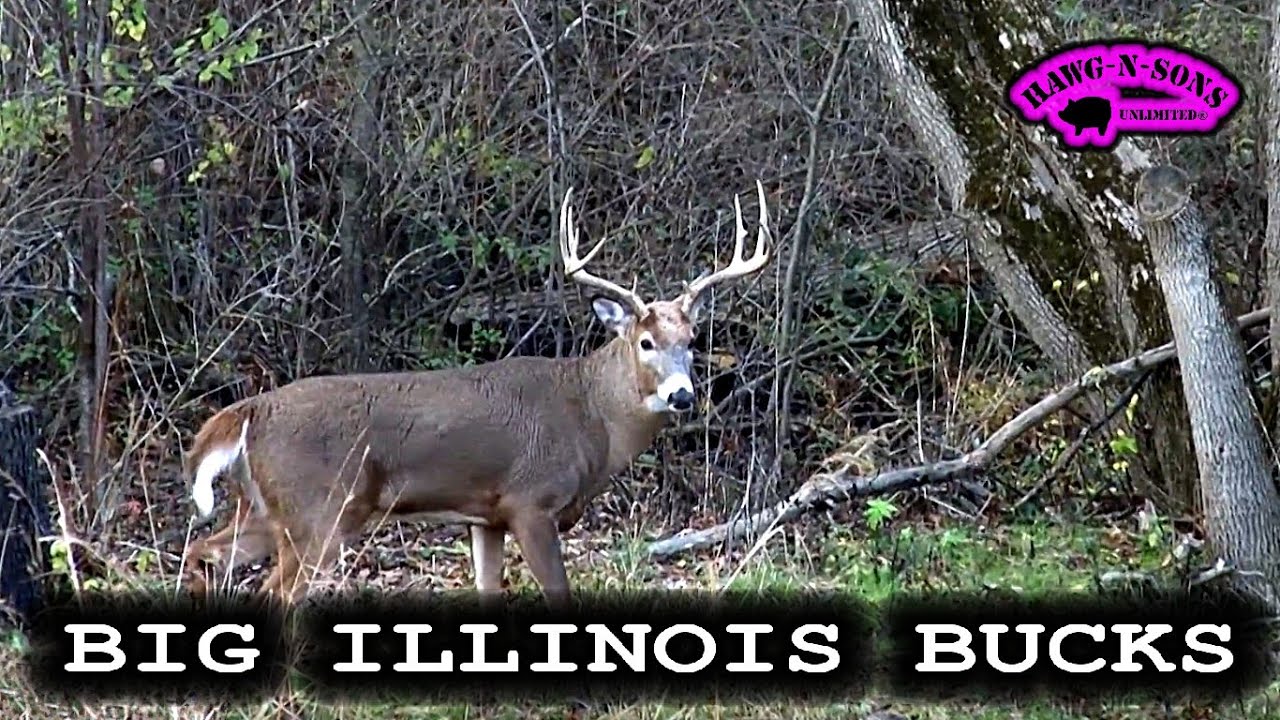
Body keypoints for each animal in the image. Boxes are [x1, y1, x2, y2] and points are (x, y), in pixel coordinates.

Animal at [178, 181, 773, 605]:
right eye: (646, 341)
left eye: (692, 340)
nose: (682, 396)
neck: (592, 418)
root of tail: (252, 409)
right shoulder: (530, 500)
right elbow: (558, 594)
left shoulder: (485, 517)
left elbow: (488, 591)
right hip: (318, 509)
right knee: (273, 590)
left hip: (264, 506)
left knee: (202, 551)